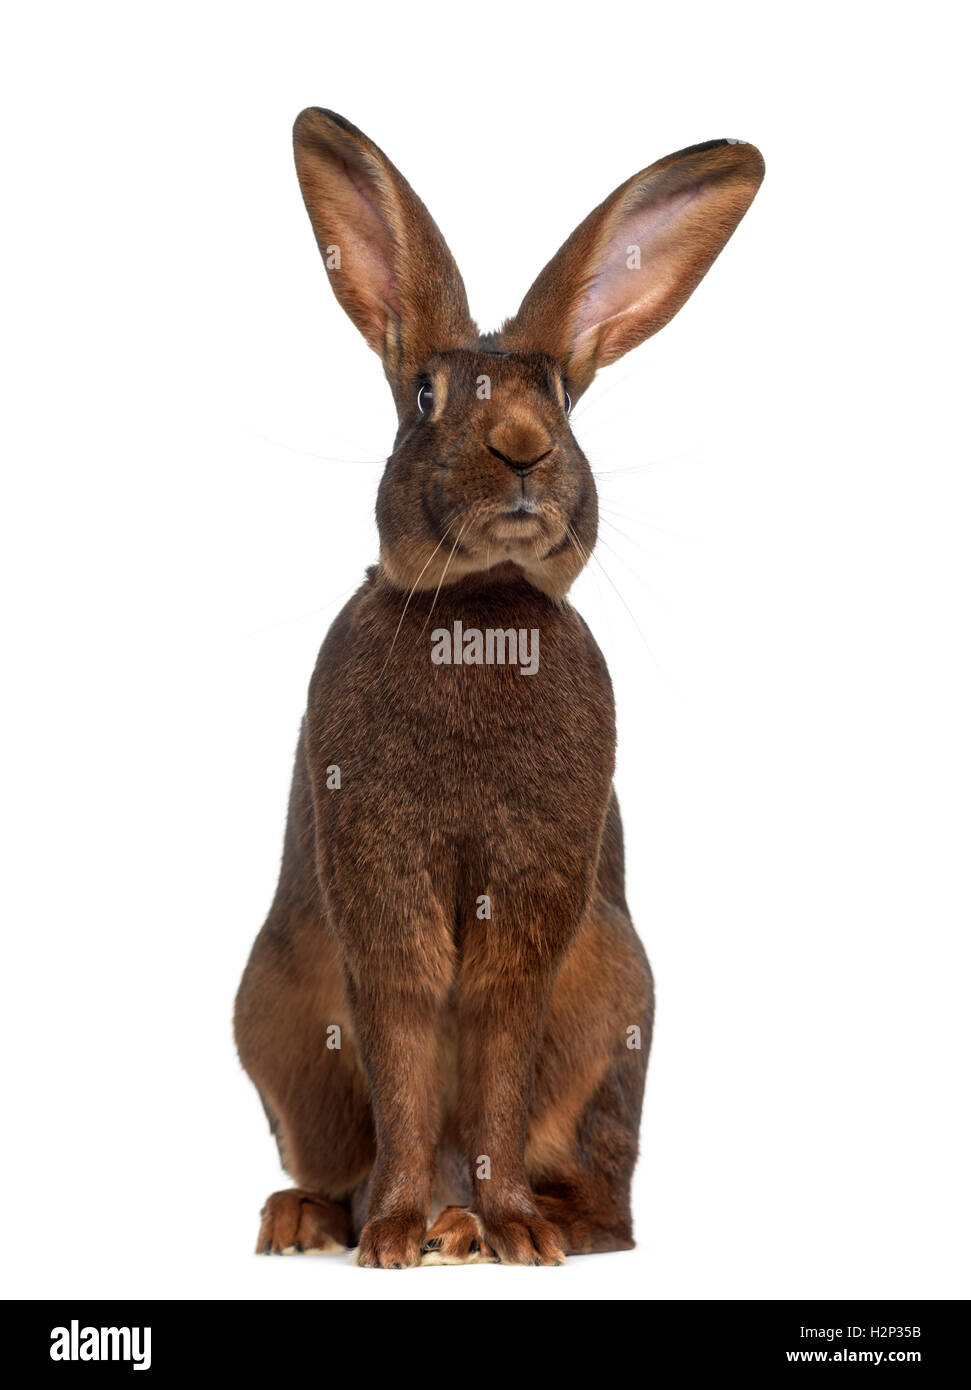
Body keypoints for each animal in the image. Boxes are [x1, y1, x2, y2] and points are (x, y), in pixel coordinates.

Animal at [234, 109, 764, 1268]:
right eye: (426, 398)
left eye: (560, 396)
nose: (520, 447)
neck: (479, 608)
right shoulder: (379, 885)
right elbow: (402, 1028)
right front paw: (391, 1238)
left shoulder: (534, 900)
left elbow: (499, 1037)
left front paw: (513, 1229)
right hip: (272, 1016)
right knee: (334, 1152)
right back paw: (332, 1220)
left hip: (615, 1001)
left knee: (604, 1188)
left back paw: (515, 1224)